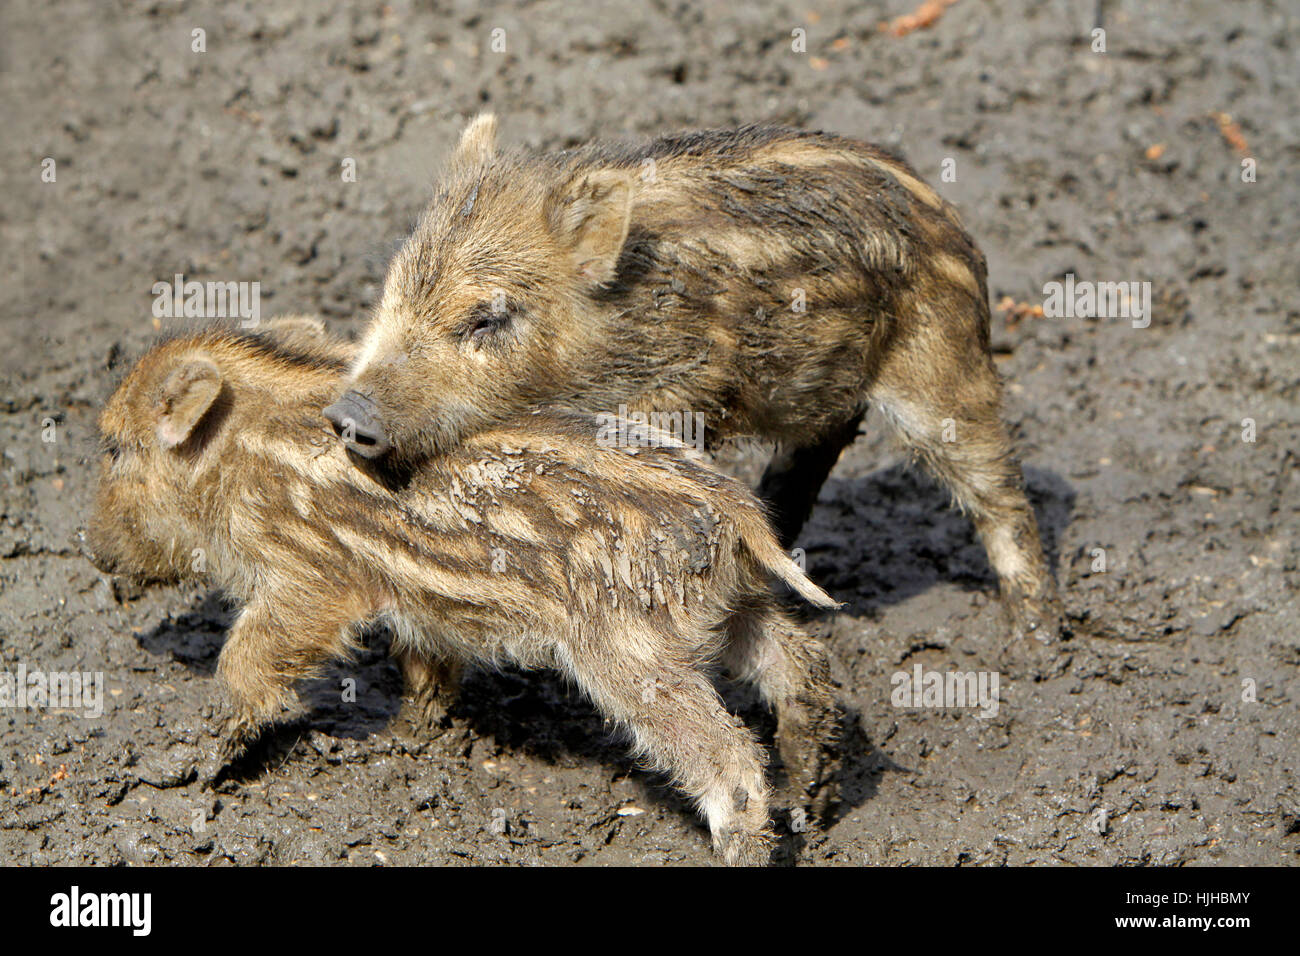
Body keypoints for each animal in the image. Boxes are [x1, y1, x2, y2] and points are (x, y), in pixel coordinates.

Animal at [85, 319, 841, 865]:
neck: (242, 456)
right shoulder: (421, 612)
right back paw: (813, 792)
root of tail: (735, 507)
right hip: (732, 608)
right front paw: (411, 739)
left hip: (628, 649)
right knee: (799, 667)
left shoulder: (310, 581)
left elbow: (247, 660)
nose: (92, 553)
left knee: (727, 757)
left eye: (117, 449)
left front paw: (197, 762)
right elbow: (426, 671)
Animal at [327, 116, 1064, 645]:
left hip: (941, 369)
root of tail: (958, 228)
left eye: (489, 317)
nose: (347, 416)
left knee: (1000, 490)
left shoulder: (685, 392)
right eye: (395, 286)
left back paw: (1034, 638)